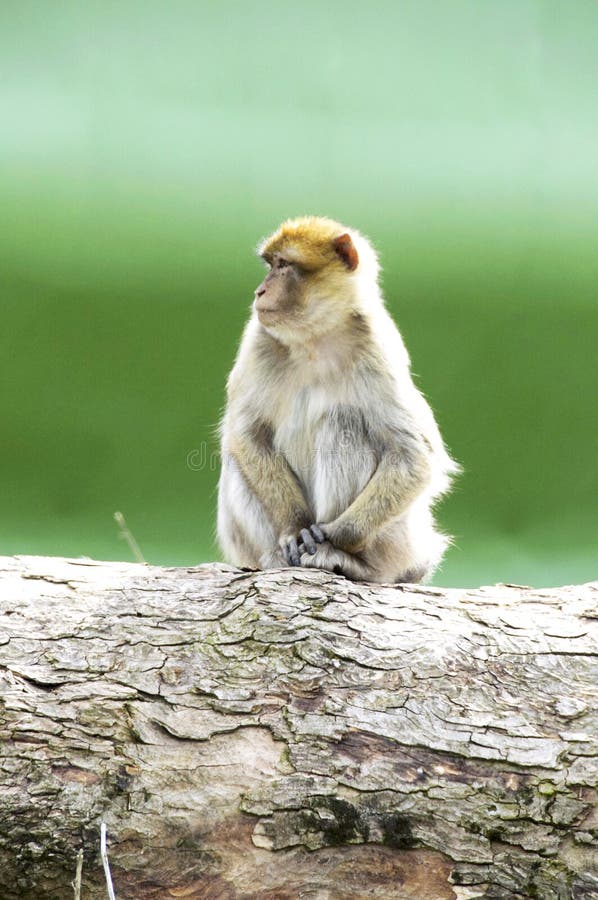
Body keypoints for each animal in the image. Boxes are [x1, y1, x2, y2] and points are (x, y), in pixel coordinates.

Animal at [217, 216, 459, 583]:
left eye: (283, 266)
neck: (313, 338)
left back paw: (348, 561)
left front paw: (334, 536)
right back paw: (276, 556)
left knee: (342, 422)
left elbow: (413, 456)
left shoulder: (377, 346)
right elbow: (247, 435)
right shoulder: (257, 341)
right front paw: (295, 526)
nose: (260, 291)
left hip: (396, 540)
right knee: (236, 455)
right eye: (270, 265)